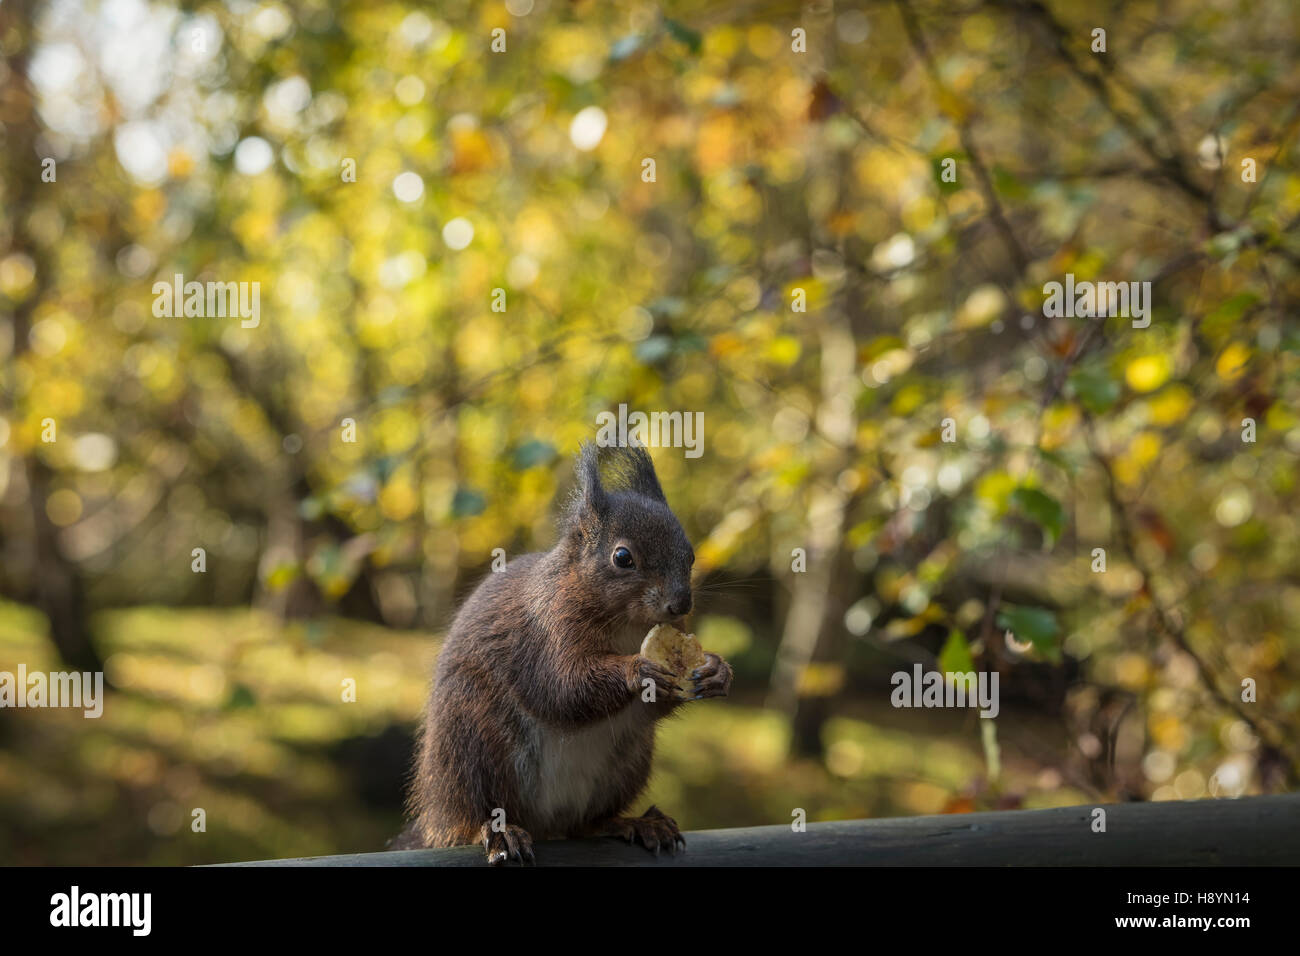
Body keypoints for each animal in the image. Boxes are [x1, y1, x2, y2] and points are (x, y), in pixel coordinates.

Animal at [392, 442, 732, 864]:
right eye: (622, 557)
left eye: (691, 556)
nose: (681, 603)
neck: (627, 625)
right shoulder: (543, 631)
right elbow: (560, 689)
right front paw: (639, 671)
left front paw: (718, 671)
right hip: (474, 748)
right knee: (472, 816)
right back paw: (496, 832)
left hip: (626, 765)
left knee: (586, 825)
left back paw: (634, 823)